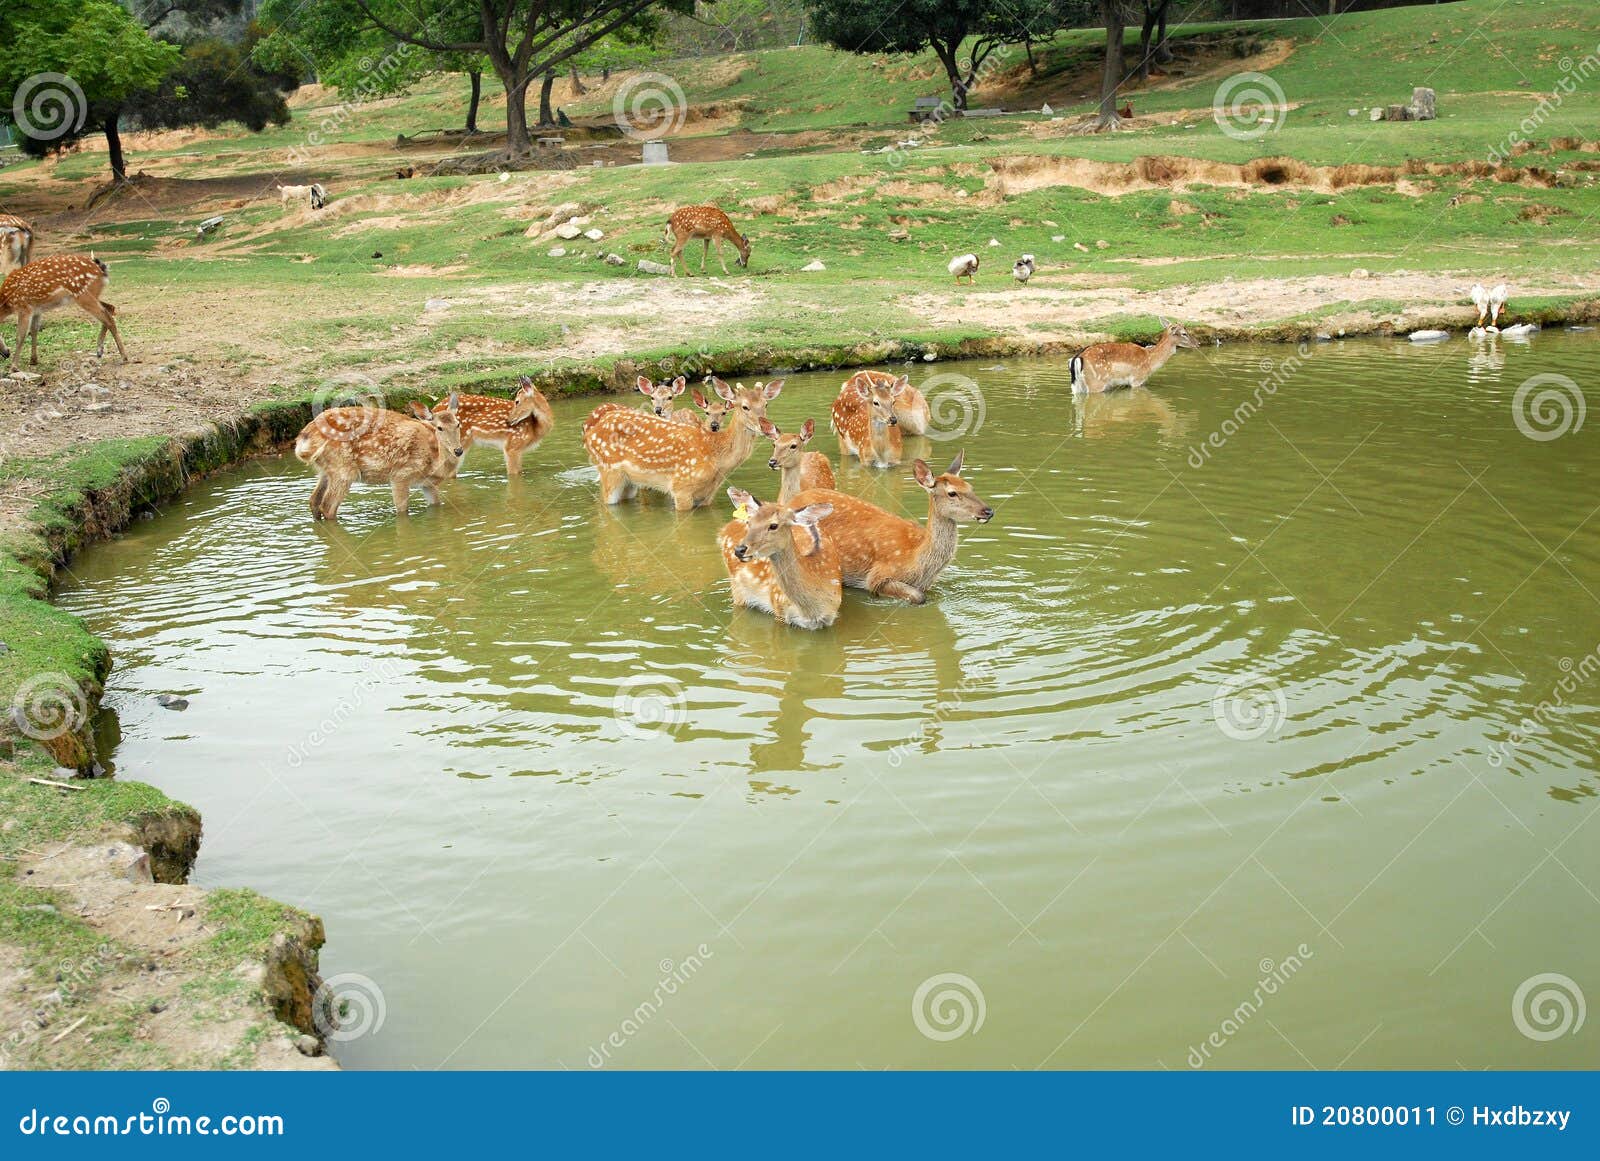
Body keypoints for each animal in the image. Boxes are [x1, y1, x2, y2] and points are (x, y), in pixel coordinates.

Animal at [294, 397, 465, 520]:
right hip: (343, 469)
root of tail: (304, 438)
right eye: (439, 427)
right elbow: (402, 511)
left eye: (458, 424)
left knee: (314, 501)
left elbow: (436, 505)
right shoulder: (400, 475)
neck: (434, 461)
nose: (458, 450)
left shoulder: (428, 484)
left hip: (325, 470)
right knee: (327, 506)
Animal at [582, 376, 781, 511]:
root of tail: (590, 432)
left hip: (629, 481)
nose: (765, 426)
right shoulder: (681, 487)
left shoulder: (708, 496)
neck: (716, 454)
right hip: (609, 471)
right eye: (745, 406)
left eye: (766, 404)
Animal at [719, 488, 841, 630]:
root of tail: (724, 529)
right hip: (736, 587)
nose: (739, 550)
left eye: (773, 525)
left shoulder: (832, 615)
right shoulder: (778, 607)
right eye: (749, 523)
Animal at [788, 451, 993, 605]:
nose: (988, 511)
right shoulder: (878, 575)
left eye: (970, 486)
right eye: (952, 493)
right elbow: (918, 597)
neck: (917, 560)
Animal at [1069, 317, 1198, 394]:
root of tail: (1078, 358)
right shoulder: (1137, 379)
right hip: (1096, 382)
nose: (1198, 343)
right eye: (1184, 333)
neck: (1150, 361)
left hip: (1077, 386)